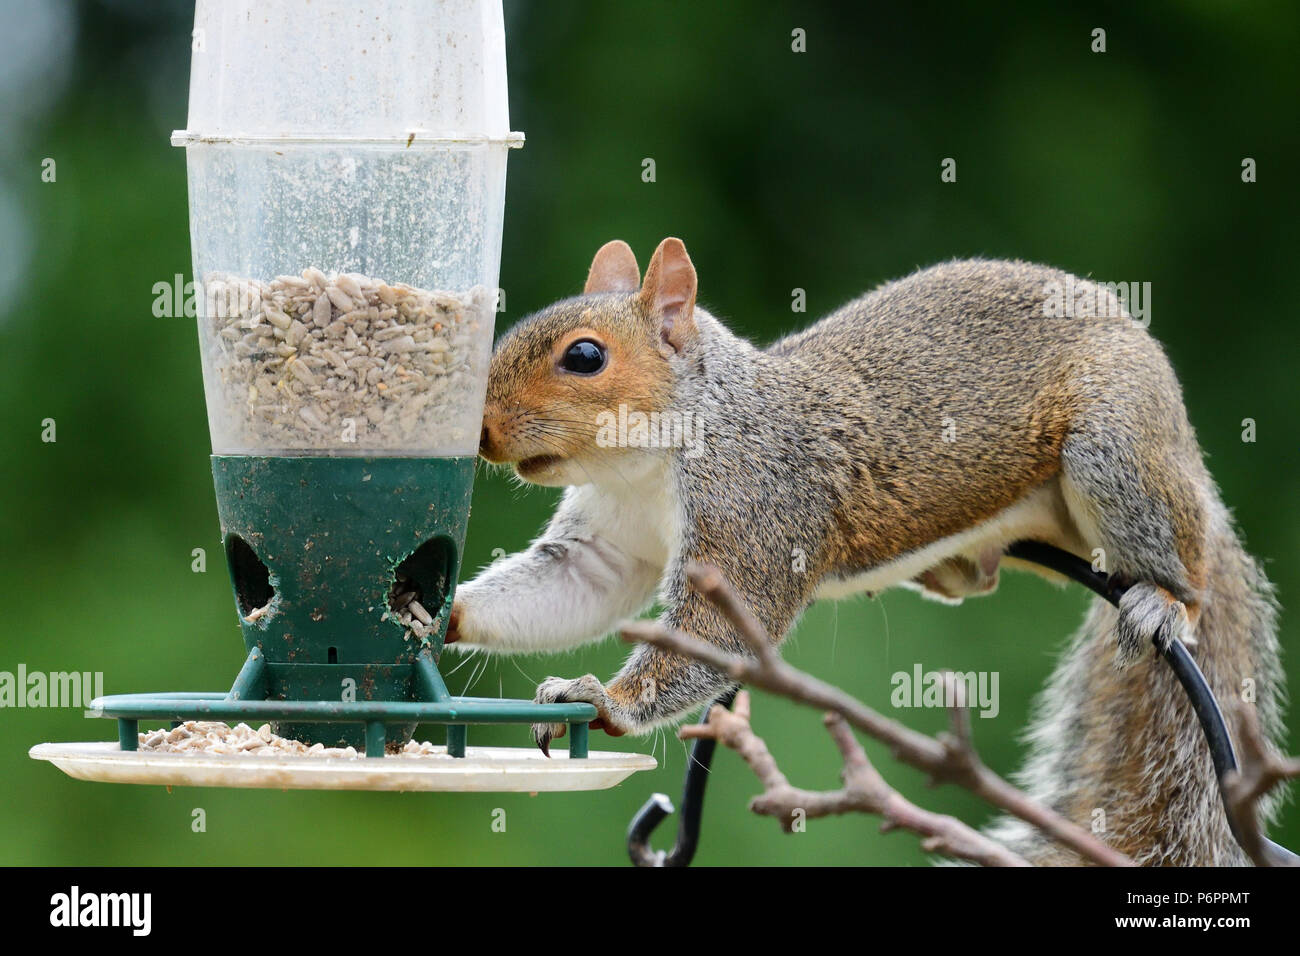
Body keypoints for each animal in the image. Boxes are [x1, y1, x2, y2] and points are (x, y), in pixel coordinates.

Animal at [446, 237, 1285, 866]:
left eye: (585, 357)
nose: (479, 430)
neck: (648, 461)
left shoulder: (754, 511)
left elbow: (714, 636)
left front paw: (603, 700)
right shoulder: (608, 540)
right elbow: (574, 586)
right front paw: (437, 613)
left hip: (1116, 452)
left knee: (1188, 563)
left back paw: (1166, 599)